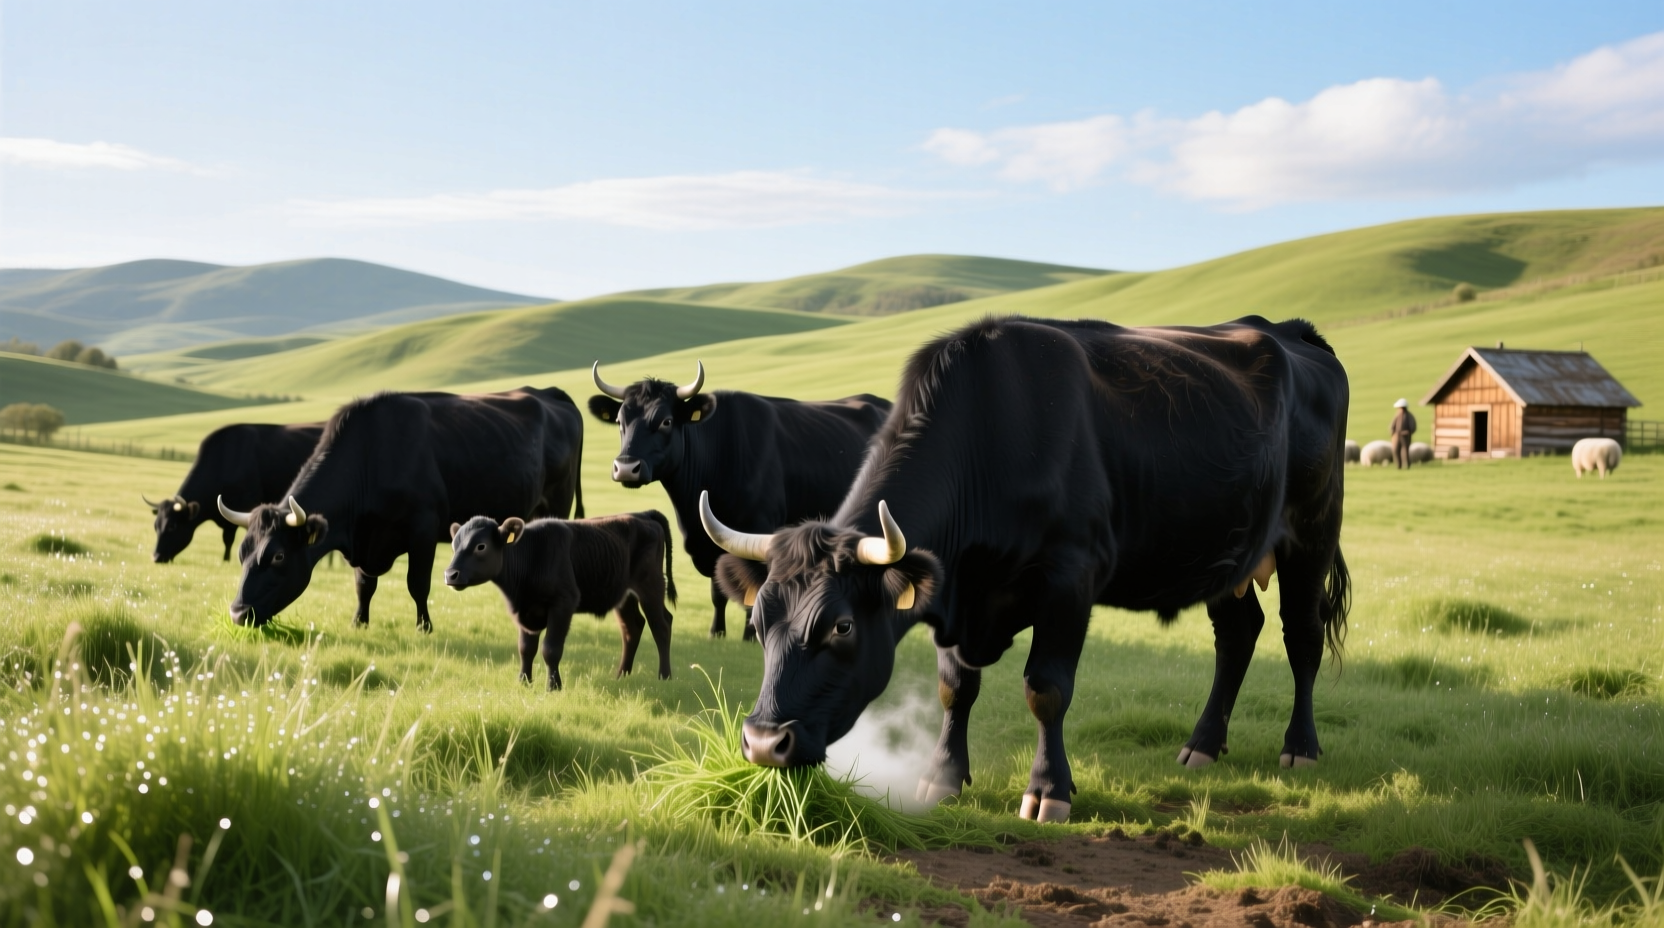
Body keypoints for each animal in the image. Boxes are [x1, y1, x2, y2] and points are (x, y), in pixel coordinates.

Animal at [217, 387, 585, 632]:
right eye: (242, 552)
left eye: (278, 556)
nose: (237, 614)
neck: (372, 456)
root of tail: (547, 393)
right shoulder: (365, 538)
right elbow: (364, 586)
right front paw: (359, 622)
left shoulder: (423, 529)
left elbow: (417, 583)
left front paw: (425, 628)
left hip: (558, 503)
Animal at [443, 511, 676, 690]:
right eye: (454, 545)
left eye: (481, 546)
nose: (450, 574)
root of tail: (643, 515)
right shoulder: (526, 610)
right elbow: (526, 649)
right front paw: (524, 682)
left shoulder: (563, 603)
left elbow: (550, 649)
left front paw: (553, 687)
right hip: (624, 595)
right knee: (632, 628)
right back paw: (621, 676)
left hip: (651, 586)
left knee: (661, 626)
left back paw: (665, 677)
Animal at [587, 361, 890, 640]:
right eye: (619, 421)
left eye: (666, 421)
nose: (626, 468)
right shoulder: (711, 540)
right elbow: (717, 591)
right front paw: (717, 632)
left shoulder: (760, 529)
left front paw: (751, 635)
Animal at [701, 315, 1351, 824]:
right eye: (757, 623)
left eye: (841, 626)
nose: (763, 743)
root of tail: (1288, 331)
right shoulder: (955, 594)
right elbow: (955, 688)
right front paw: (942, 777)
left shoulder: (1070, 581)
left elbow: (1047, 689)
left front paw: (1048, 790)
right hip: (1227, 556)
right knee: (1238, 635)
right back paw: (1203, 745)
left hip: (1312, 534)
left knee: (1303, 636)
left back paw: (1301, 746)